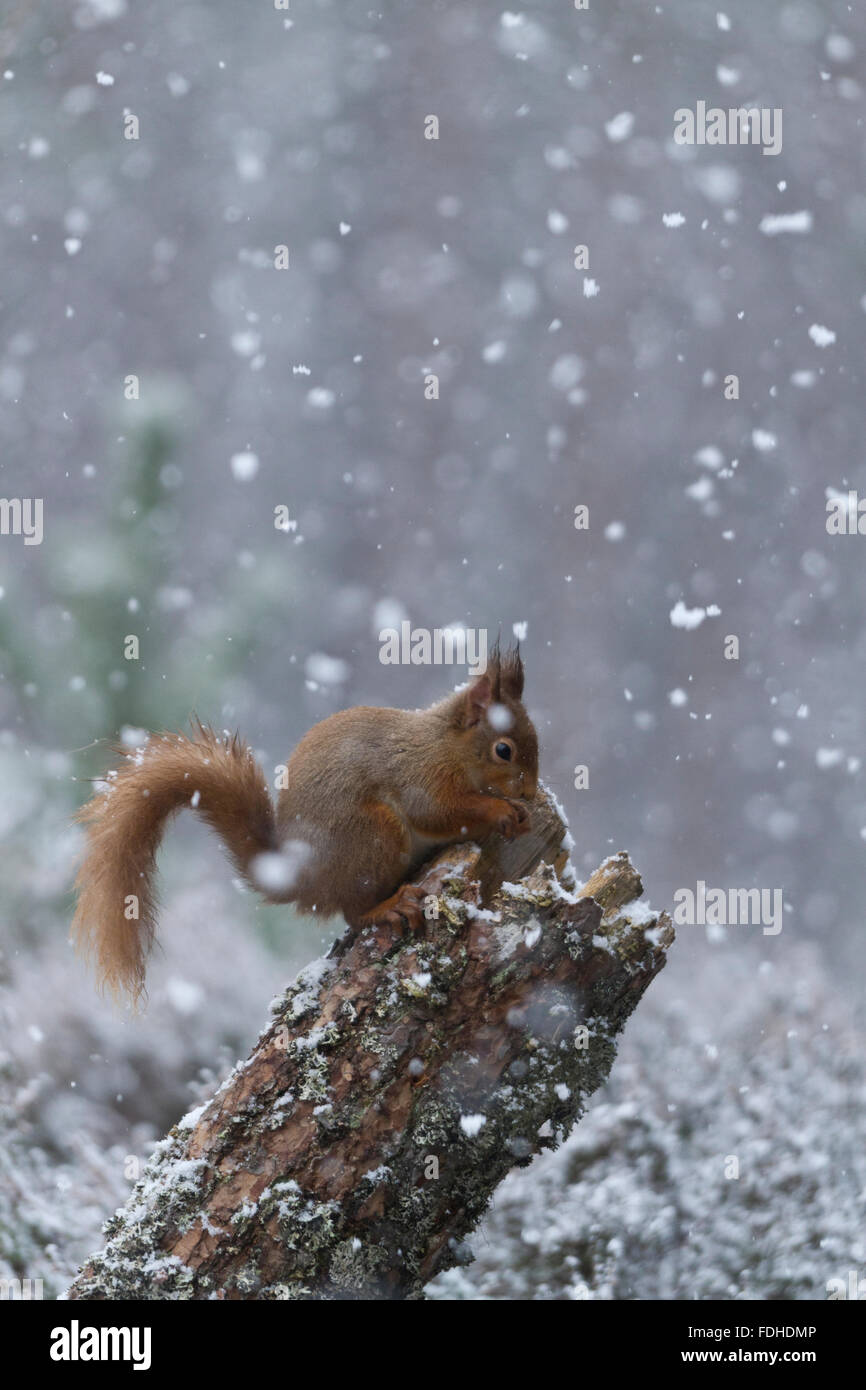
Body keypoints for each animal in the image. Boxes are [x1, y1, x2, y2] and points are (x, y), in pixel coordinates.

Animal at [71, 644, 539, 1005]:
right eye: (503, 750)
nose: (532, 792)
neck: (446, 745)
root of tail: (301, 877)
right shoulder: (419, 776)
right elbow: (438, 811)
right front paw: (499, 810)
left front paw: (522, 813)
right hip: (374, 832)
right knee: (353, 912)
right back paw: (388, 906)